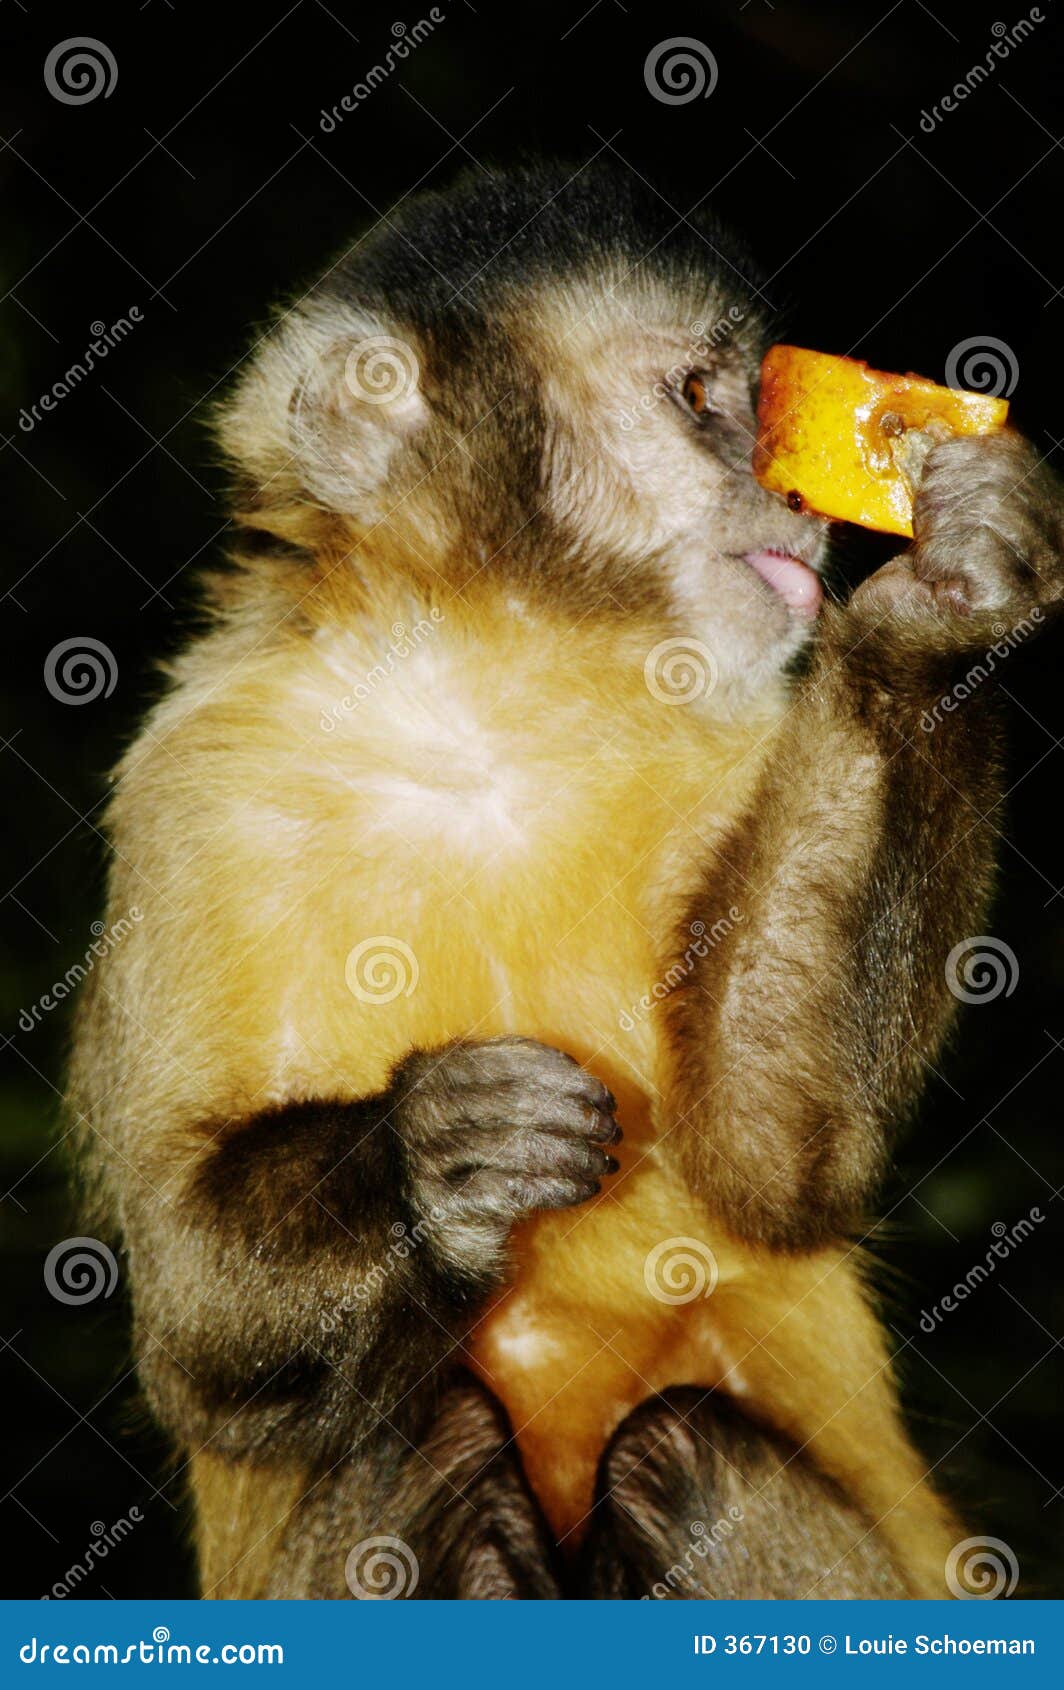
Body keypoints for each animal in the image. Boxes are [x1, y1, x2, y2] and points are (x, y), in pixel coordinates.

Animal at [67, 162, 1064, 1601]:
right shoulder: (191, 779)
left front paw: (938, 613)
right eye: (698, 395)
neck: (497, 700)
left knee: (681, 1453)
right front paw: (429, 1162)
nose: (801, 506)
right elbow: (188, 1341)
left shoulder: (744, 722)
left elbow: (770, 1165)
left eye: (759, 403)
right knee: (412, 1439)